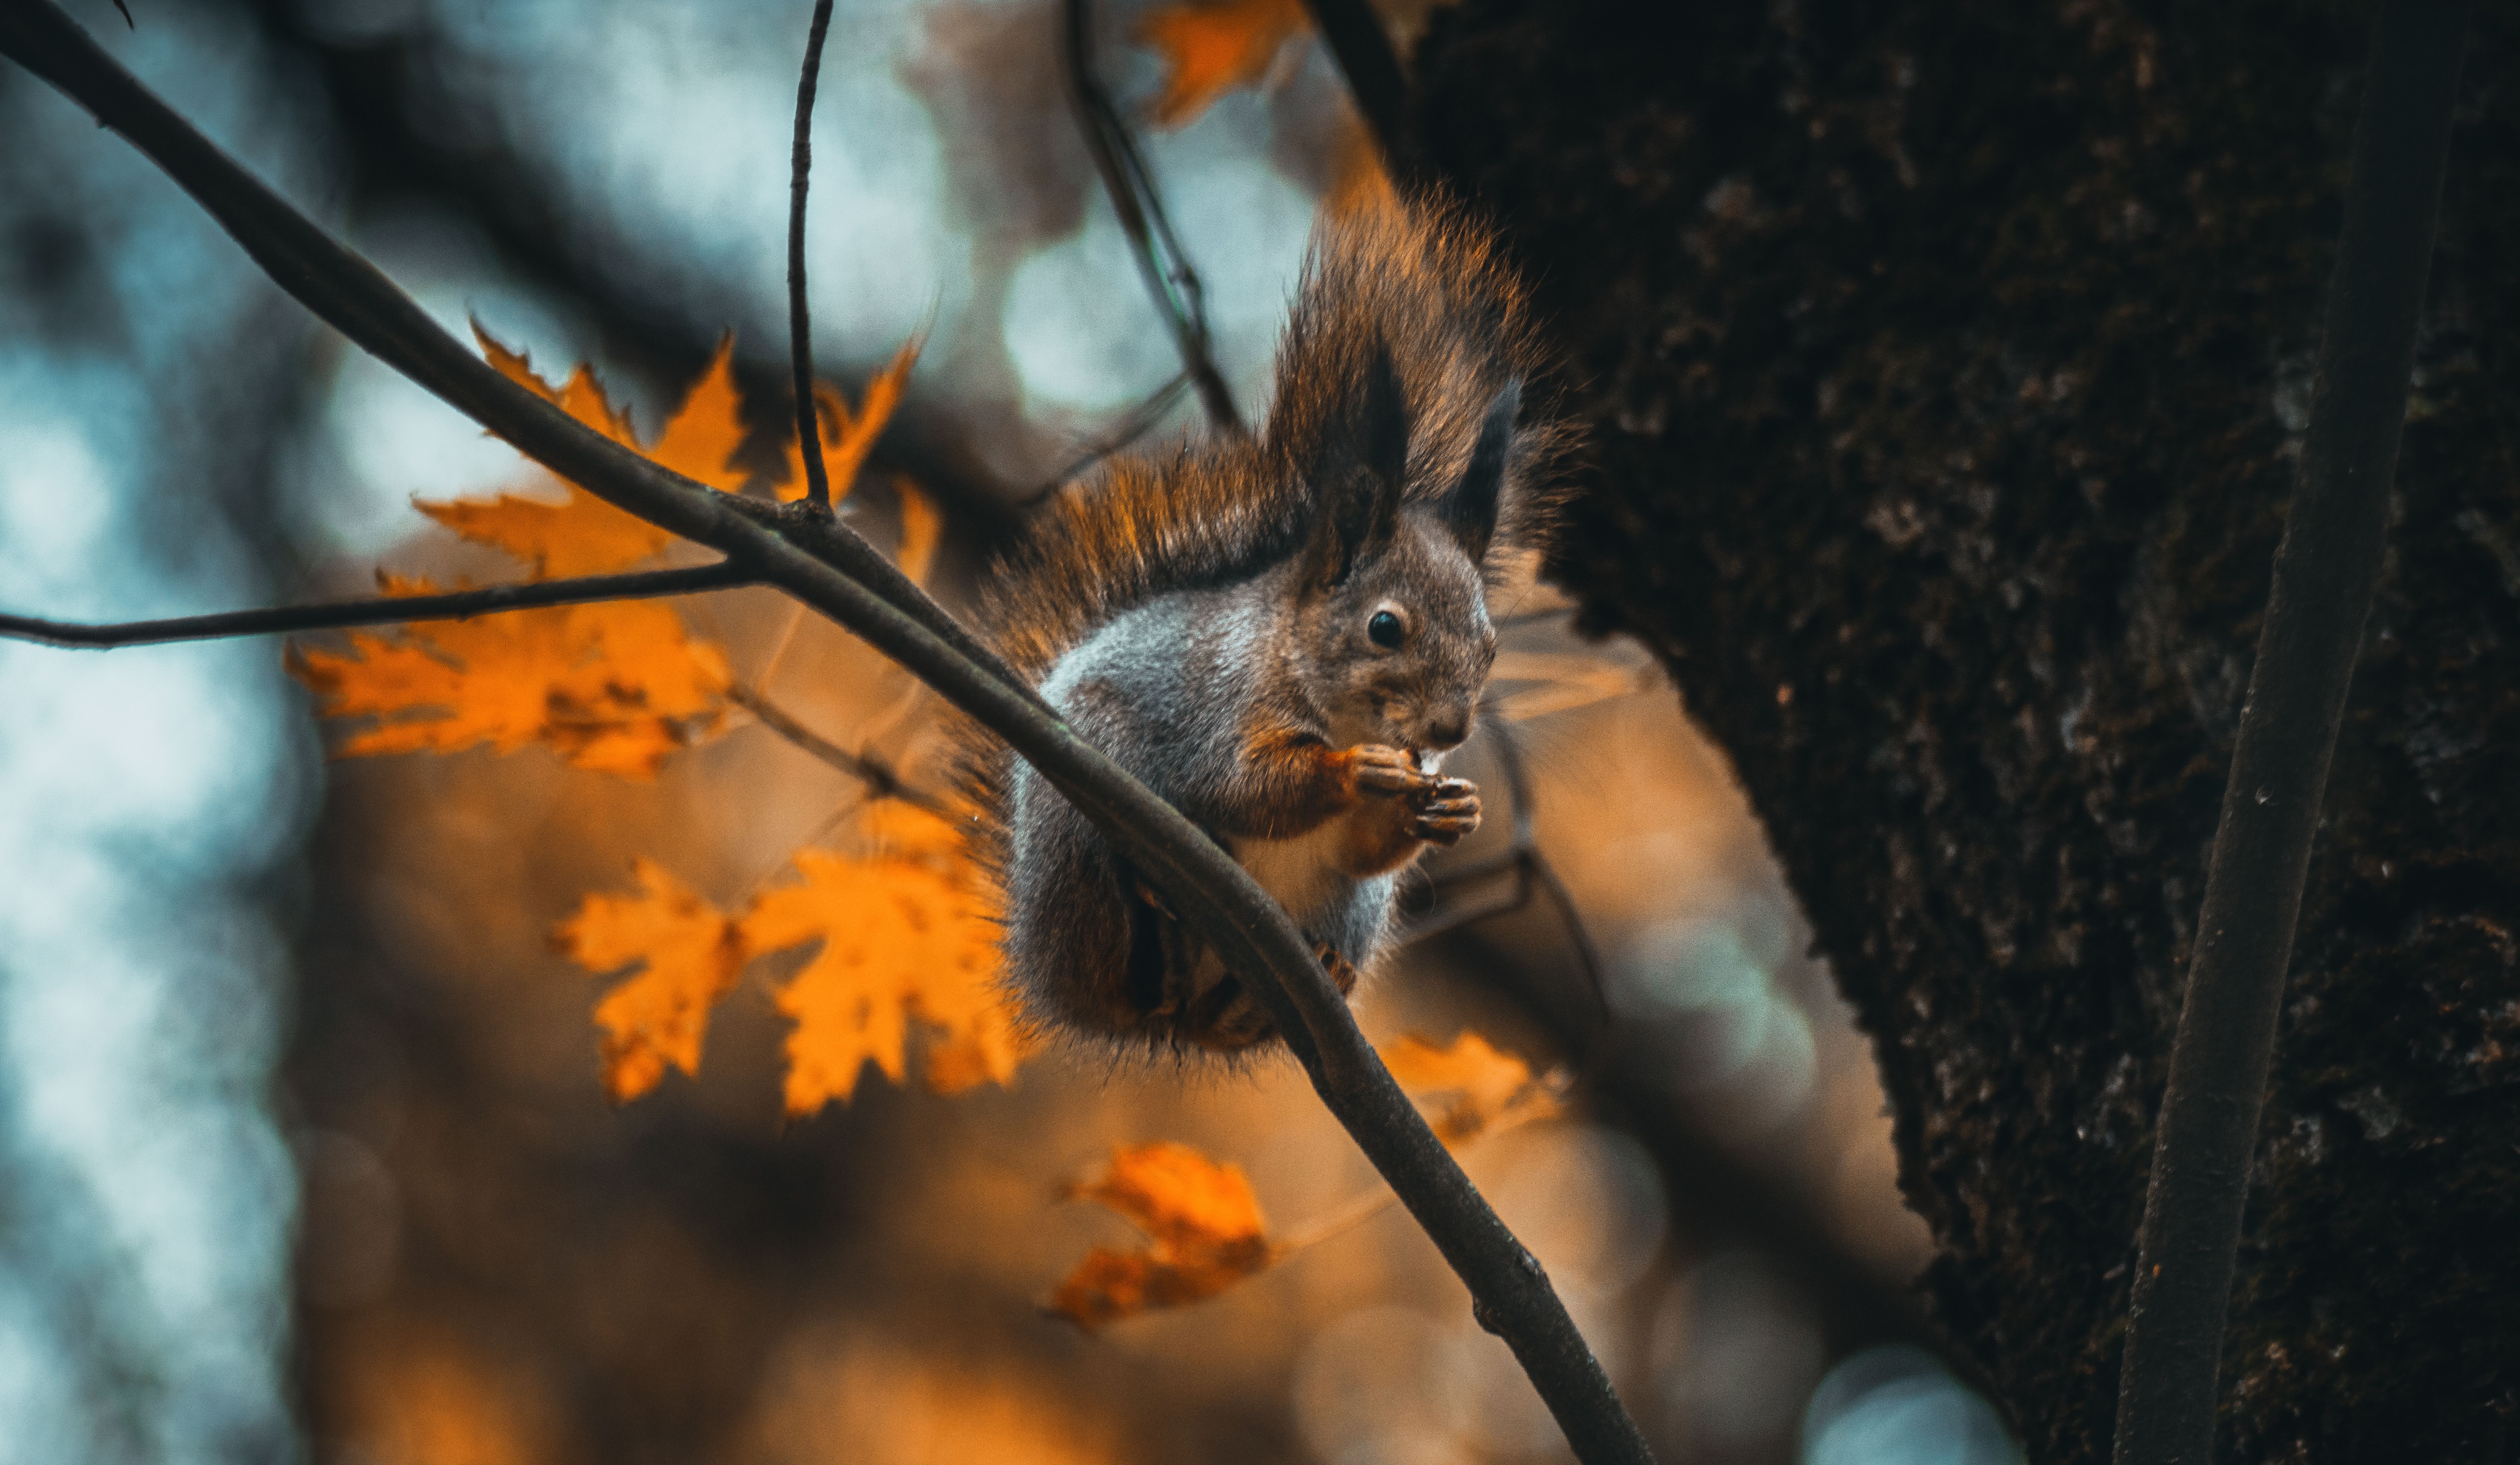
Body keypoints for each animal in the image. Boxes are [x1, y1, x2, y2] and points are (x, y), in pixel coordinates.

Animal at [953, 193, 1564, 1054]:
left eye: (1491, 643)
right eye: (1384, 627)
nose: (1449, 730)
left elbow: (1362, 849)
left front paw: (1449, 808)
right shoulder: (1222, 706)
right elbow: (1242, 785)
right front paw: (1352, 773)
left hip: (1347, 914)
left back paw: (1272, 989)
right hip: (1080, 814)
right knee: (1119, 948)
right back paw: (1153, 925)